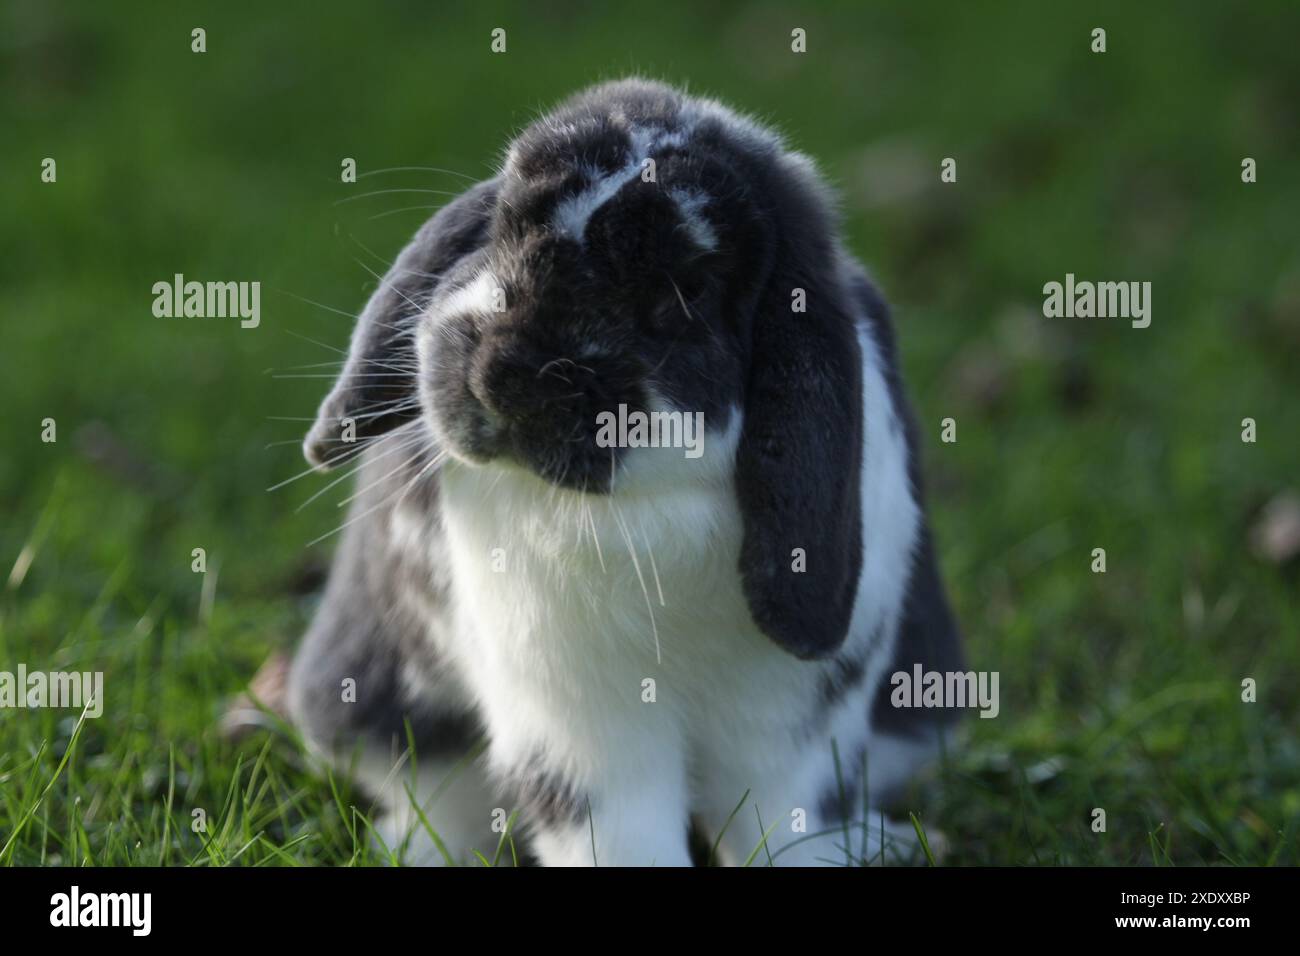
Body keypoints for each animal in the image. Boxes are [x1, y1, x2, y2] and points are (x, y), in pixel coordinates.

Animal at [286, 78, 965, 866]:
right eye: (500, 224)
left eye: (688, 290)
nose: (500, 375)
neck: (653, 504)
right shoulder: (576, 724)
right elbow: (617, 829)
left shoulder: (793, 722)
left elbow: (789, 819)